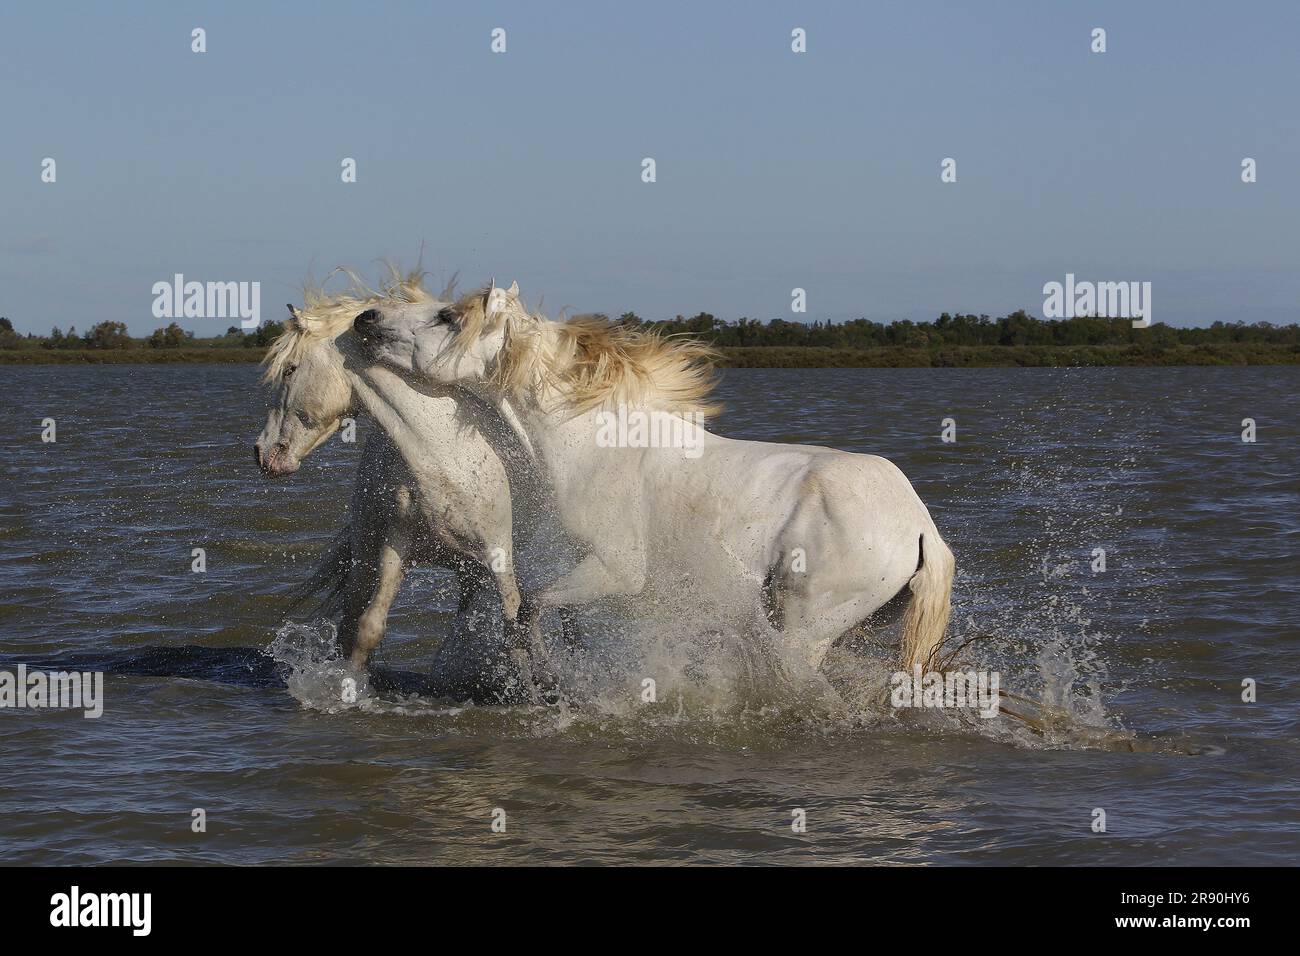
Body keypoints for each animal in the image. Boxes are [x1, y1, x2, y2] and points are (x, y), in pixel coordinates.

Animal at [252, 273, 559, 699]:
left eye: (290, 369)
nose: (263, 453)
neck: (442, 456)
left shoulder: (498, 557)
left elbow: (515, 633)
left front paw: (533, 694)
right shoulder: (395, 547)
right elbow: (369, 627)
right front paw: (349, 688)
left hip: (471, 570)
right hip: (367, 550)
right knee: (352, 618)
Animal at [348, 281, 957, 680]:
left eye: (448, 318)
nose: (365, 321)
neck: (594, 445)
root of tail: (920, 527)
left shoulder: (617, 569)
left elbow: (531, 608)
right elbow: (559, 616)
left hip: (804, 630)